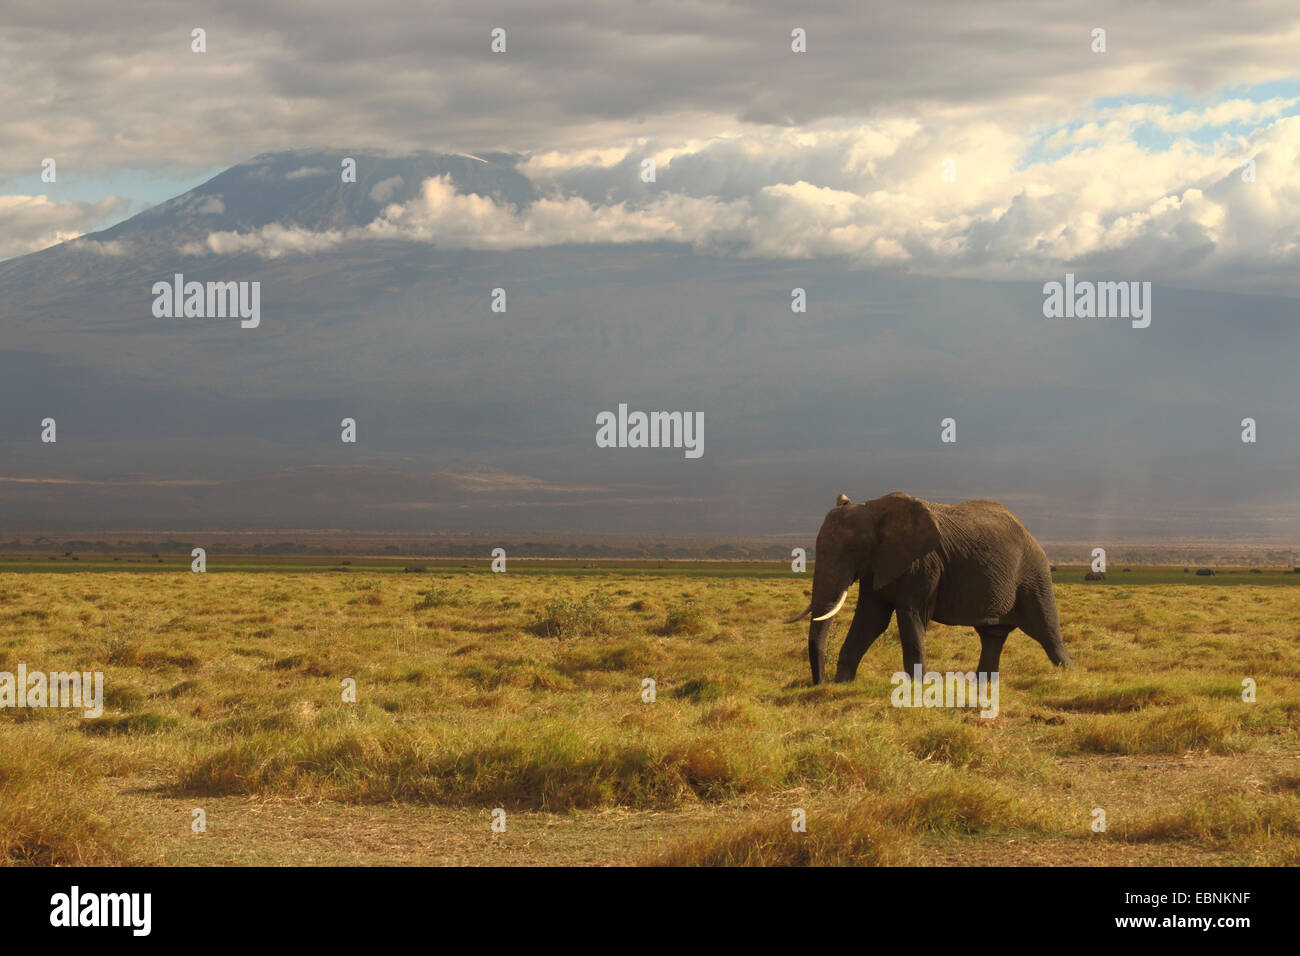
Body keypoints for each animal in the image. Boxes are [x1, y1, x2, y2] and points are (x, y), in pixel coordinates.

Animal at [786, 492, 1072, 684]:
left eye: (853, 549)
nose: (819, 683)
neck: (874, 508)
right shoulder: (879, 564)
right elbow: (871, 620)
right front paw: (843, 684)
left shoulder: (922, 563)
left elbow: (910, 615)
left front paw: (916, 689)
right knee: (993, 635)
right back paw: (983, 686)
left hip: (1033, 574)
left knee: (1046, 631)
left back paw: (1070, 676)